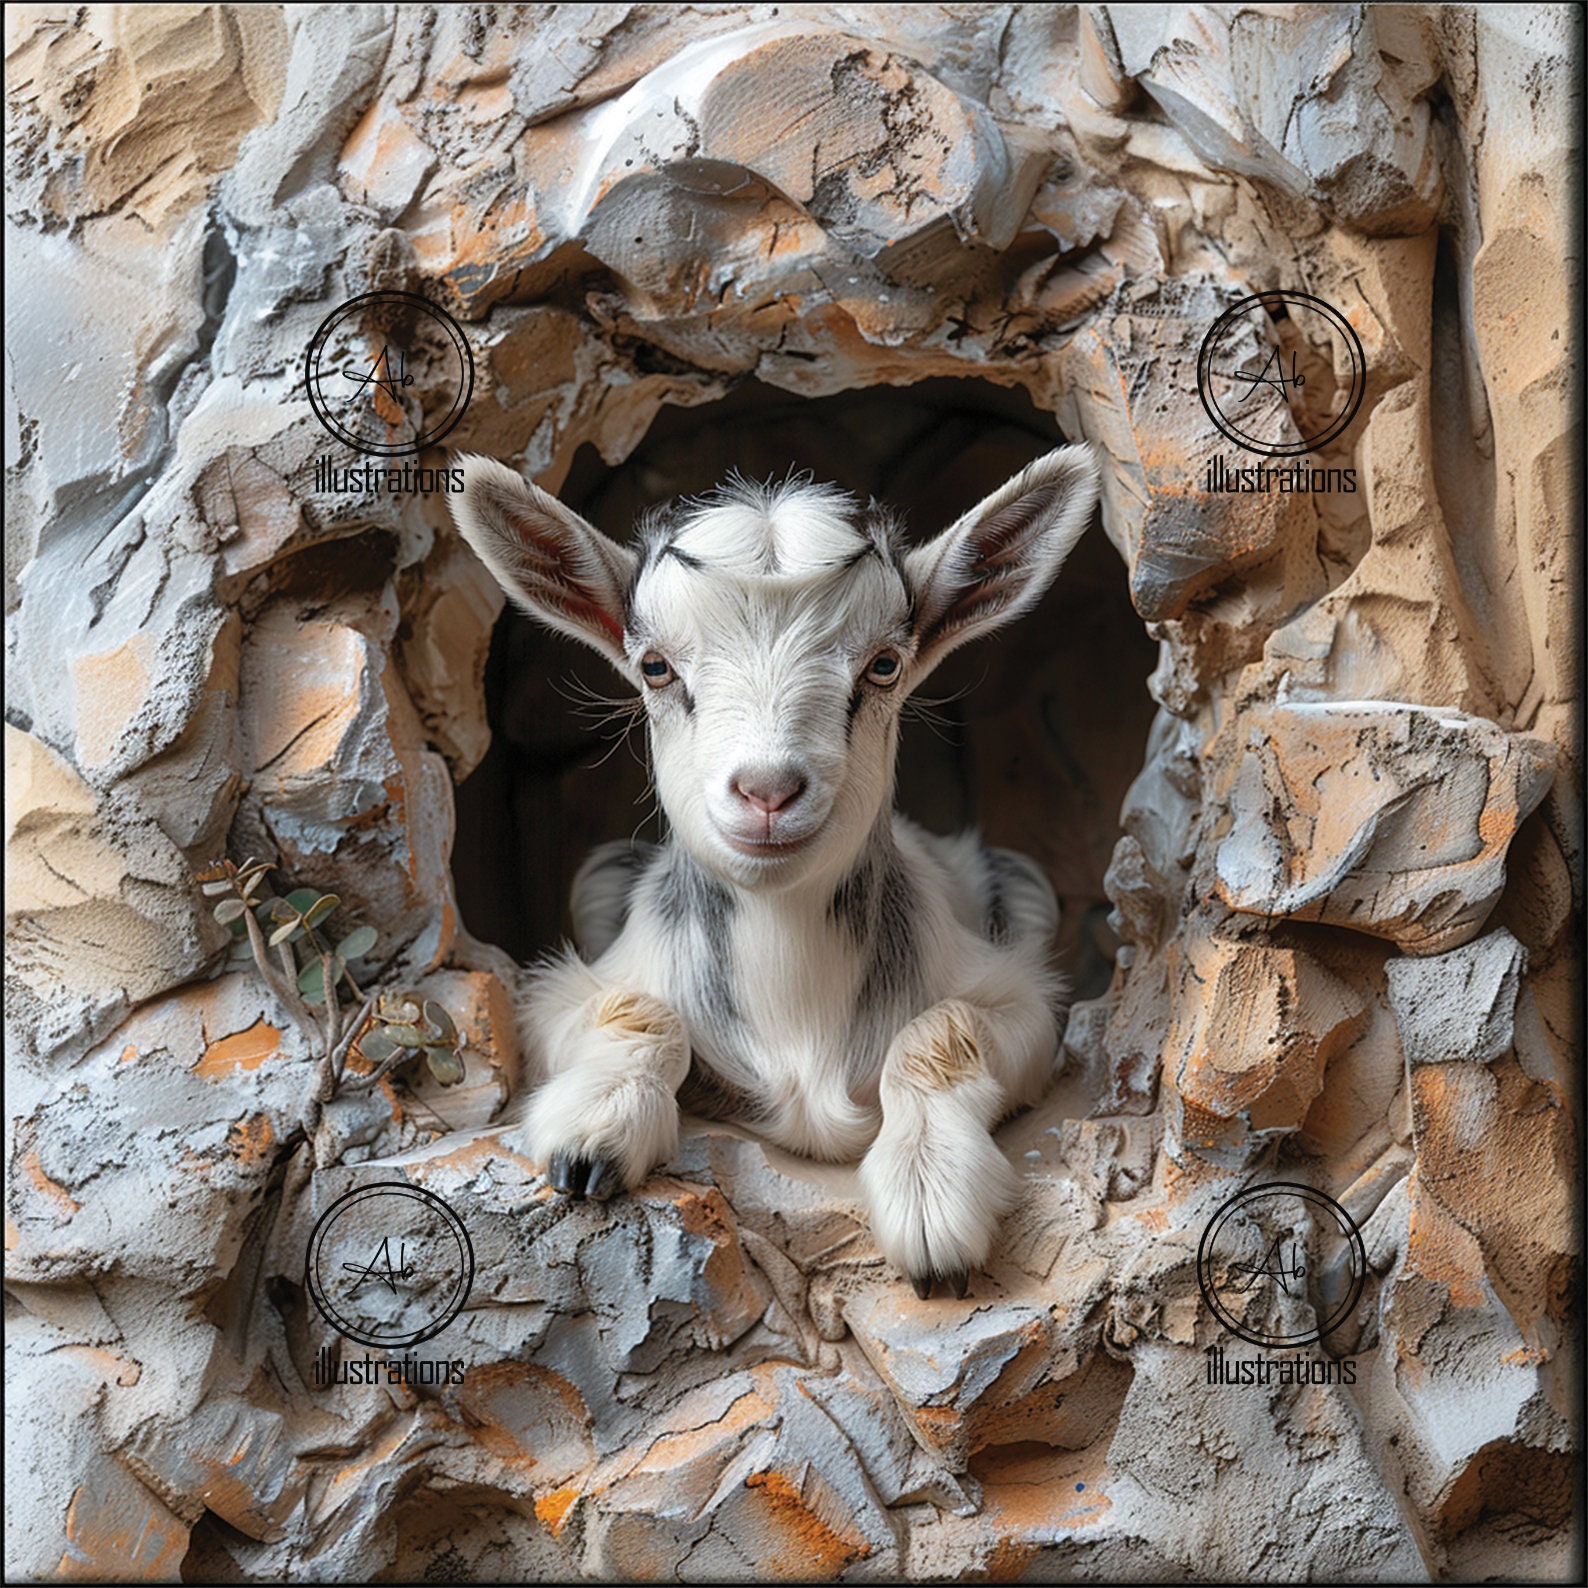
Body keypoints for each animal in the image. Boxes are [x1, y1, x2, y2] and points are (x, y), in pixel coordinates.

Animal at [451, 445, 1100, 1296]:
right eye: (655, 666)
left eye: (884, 665)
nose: (767, 790)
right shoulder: (565, 990)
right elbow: (635, 1010)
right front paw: (591, 1137)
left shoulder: (1029, 1004)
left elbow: (941, 1032)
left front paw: (931, 1202)